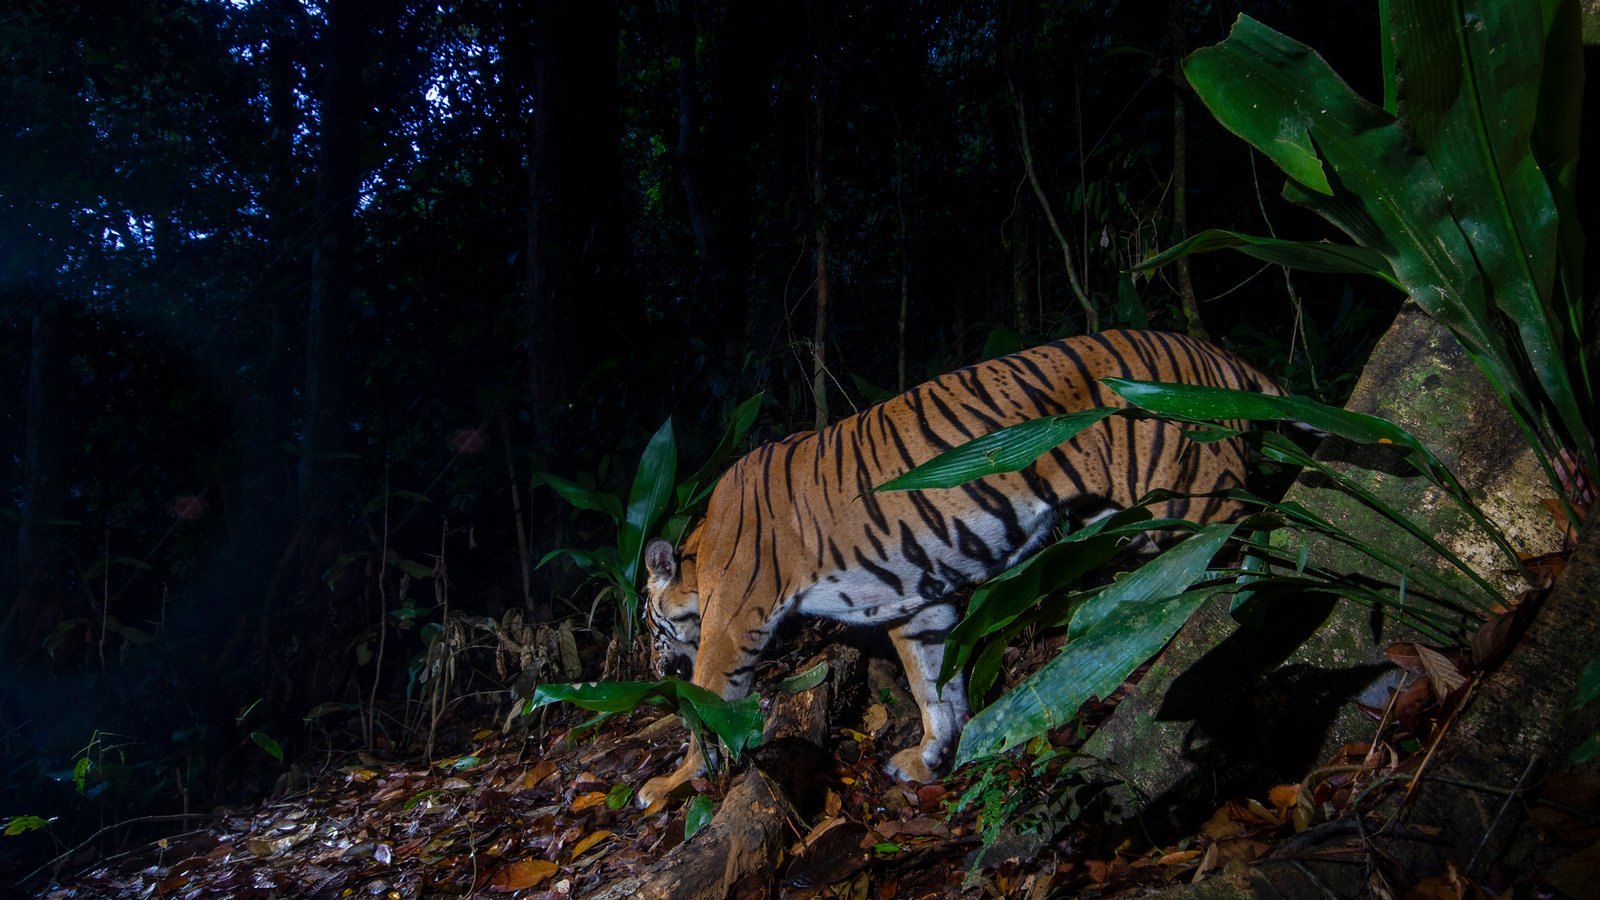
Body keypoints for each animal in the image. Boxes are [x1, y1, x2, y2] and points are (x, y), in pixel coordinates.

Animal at [636, 329, 1284, 806]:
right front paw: (929, 760)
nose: (653, 669)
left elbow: (706, 710)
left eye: (646, 623)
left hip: (1195, 499)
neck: (700, 554)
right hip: (1133, 522)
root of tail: (1213, 350)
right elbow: (933, 687)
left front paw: (670, 783)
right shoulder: (917, 602)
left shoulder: (732, 624)